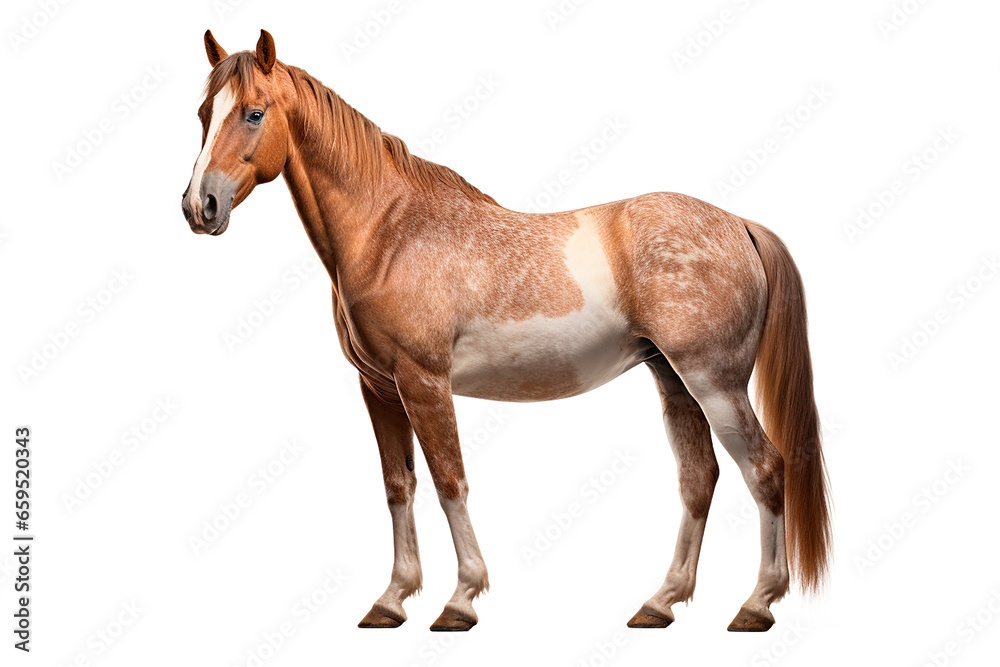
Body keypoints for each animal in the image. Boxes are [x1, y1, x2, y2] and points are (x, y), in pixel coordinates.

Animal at [181, 29, 831, 632]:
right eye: (204, 112)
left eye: (254, 112)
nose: (199, 206)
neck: (391, 232)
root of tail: (739, 224)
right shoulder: (379, 388)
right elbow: (398, 486)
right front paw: (391, 600)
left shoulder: (424, 382)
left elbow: (449, 481)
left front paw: (460, 599)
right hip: (675, 382)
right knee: (700, 480)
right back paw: (660, 602)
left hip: (714, 382)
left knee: (765, 469)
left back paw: (756, 604)